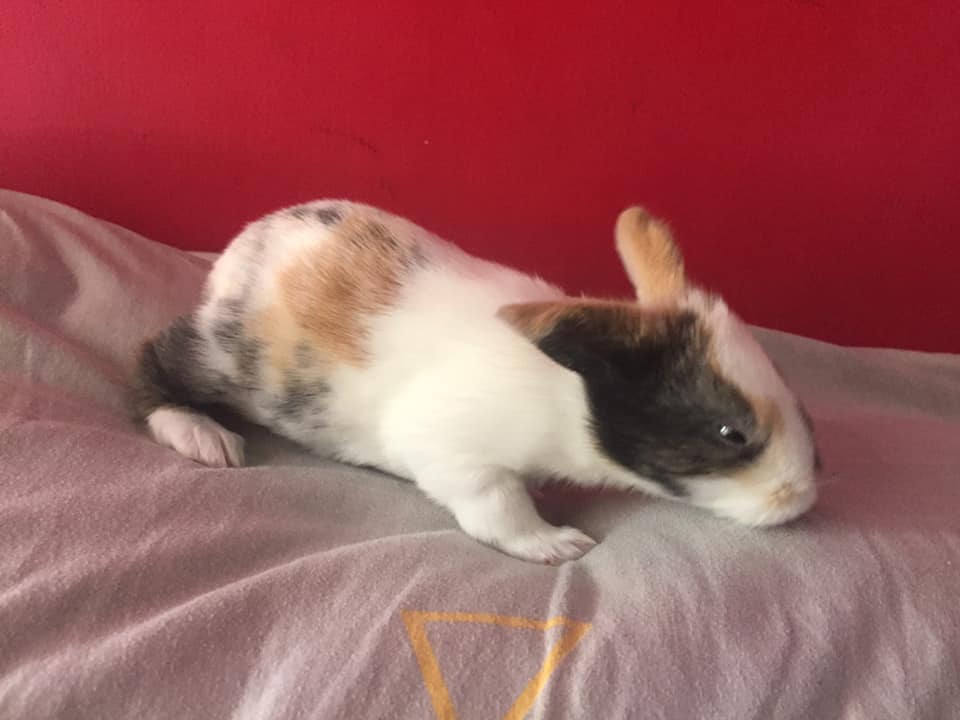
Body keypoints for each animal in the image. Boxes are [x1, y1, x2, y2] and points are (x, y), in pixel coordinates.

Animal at [130, 201, 820, 563]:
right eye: (730, 433)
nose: (803, 499)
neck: (568, 394)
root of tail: (241, 251)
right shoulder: (457, 454)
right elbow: (497, 508)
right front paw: (558, 545)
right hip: (218, 356)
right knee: (153, 360)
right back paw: (202, 437)